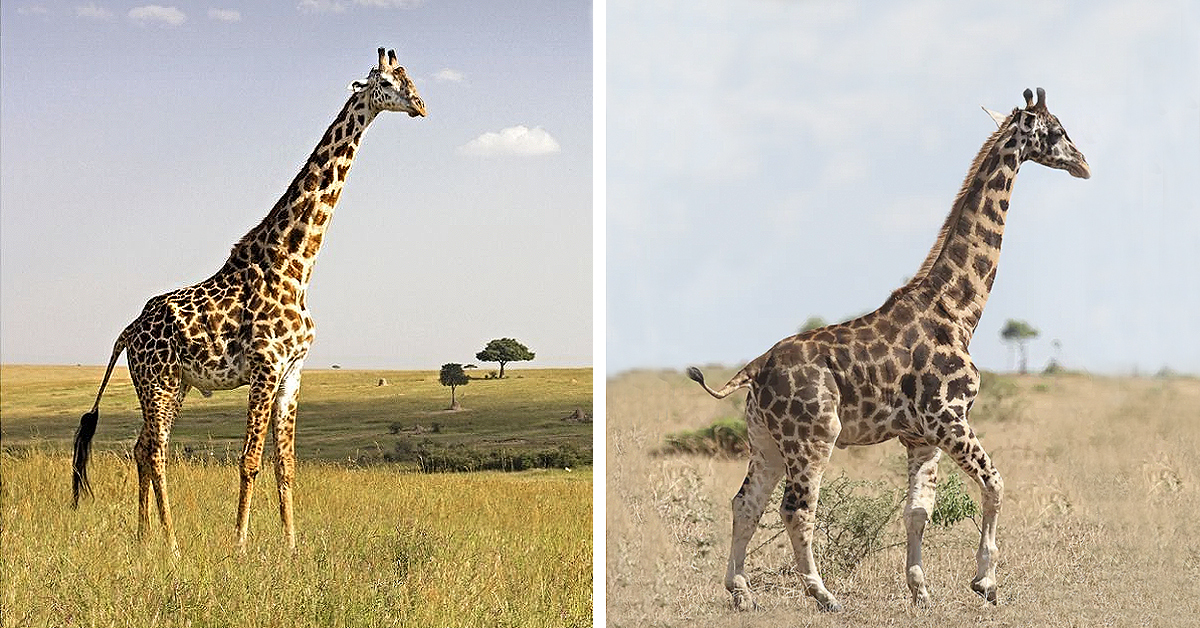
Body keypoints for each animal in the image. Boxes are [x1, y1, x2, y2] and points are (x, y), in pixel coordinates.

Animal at [71, 48, 426, 555]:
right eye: (386, 82)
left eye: (410, 77)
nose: (421, 106)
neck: (296, 265)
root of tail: (127, 331)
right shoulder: (265, 367)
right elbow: (250, 459)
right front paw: (238, 543)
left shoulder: (293, 371)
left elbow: (286, 463)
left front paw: (291, 545)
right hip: (157, 380)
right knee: (156, 450)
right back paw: (172, 543)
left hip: (172, 384)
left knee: (141, 448)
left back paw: (144, 537)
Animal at [687, 88, 1089, 611]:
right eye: (1057, 130)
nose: (1083, 164)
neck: (958, 312)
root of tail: (756, 368)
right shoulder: (949, 417)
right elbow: (995, 483)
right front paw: (985, 582)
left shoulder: (921, 436)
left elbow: (917, 511)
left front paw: (921, 590)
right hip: (814, 435)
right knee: (796, 508)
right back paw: (823, 594)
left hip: (765, 440)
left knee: (746, 503)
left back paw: (741, 593)